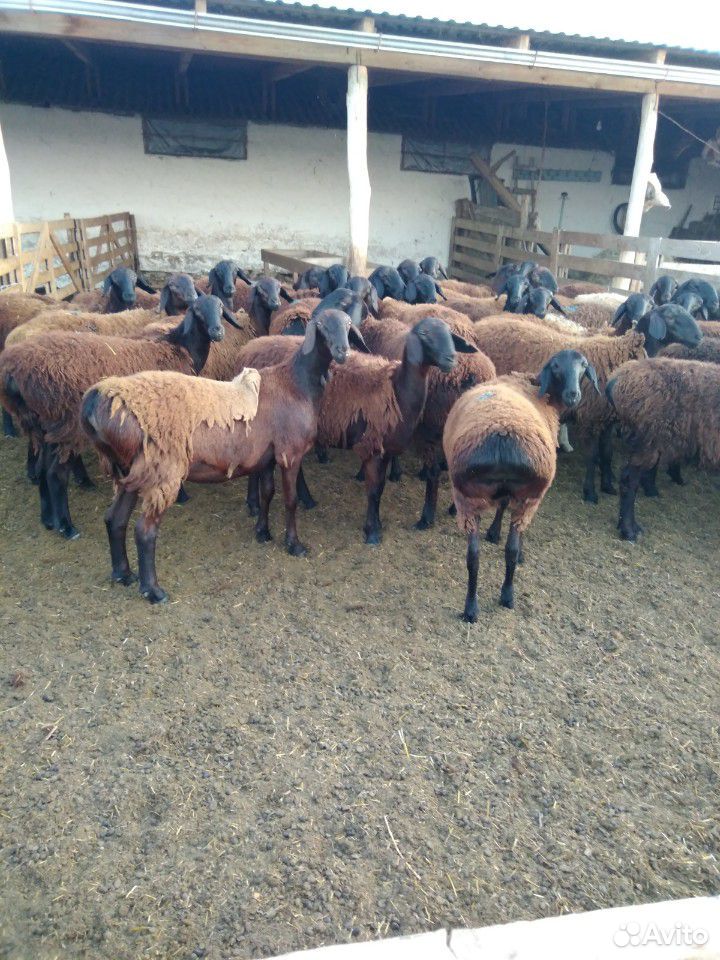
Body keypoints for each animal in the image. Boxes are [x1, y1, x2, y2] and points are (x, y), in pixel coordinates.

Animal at [0, 295, 242, 540]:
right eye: (198, 310)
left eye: (220, 307)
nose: (218, 331)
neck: (179, 347)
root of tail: (12, 372)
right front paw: (181, 494)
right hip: (65, 424)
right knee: (55, 475)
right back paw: (67, 527)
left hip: (44, 426)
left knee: (42, 466)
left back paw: (48, 519)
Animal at [81, 310, 363, 602]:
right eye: (321, 326)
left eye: (348, 325)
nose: (343, 352)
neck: (297, 383)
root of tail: (97, 399)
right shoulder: (290, 453)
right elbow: (291, 500)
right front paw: (294, 544)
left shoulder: (266, 456)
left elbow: (267, 493)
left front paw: (263, 532)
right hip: (161, 472)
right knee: (144, 531)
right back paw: (153, 590)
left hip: (129, 470)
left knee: (114, 519)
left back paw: (123, 574)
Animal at [444, 349, 596, 619]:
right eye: (556, 366)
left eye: (583, 366)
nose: (573, 395)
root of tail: (502, 436)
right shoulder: (529, 497)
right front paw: (500, 534)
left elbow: (502, 506)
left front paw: (493, 532)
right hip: (529, 496)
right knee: (512, 547)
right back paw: (508, 594)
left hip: (467, 498)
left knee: (475, 556)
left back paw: (472, 607)